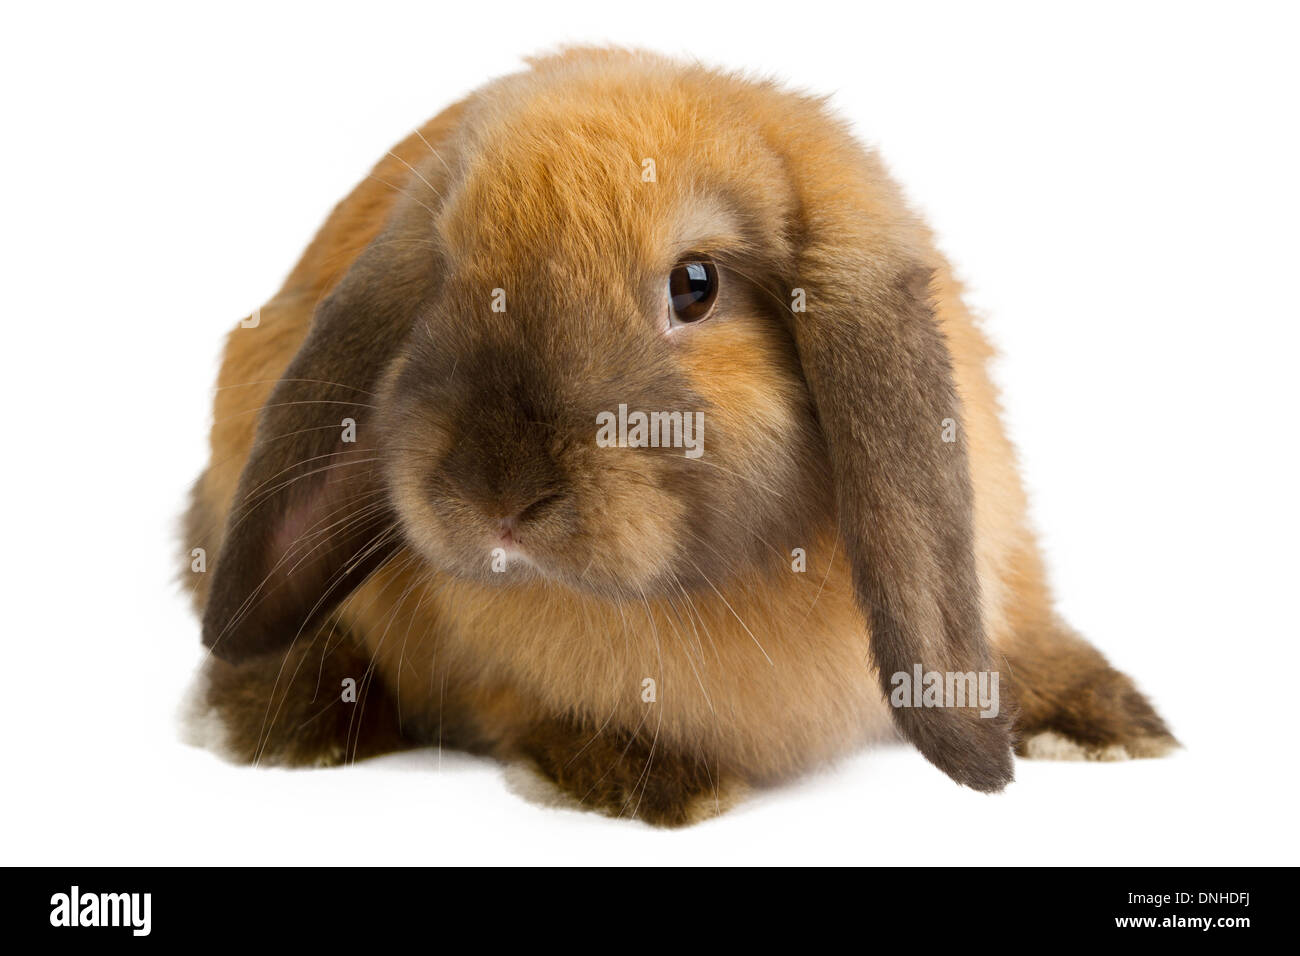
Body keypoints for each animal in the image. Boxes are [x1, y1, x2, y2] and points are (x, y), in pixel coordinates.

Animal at [181, 47, 1176, 826]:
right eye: (443, 277)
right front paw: (644, 780)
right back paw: (278, 721)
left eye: (695, 286)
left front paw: (1107, 725)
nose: (497, 498)